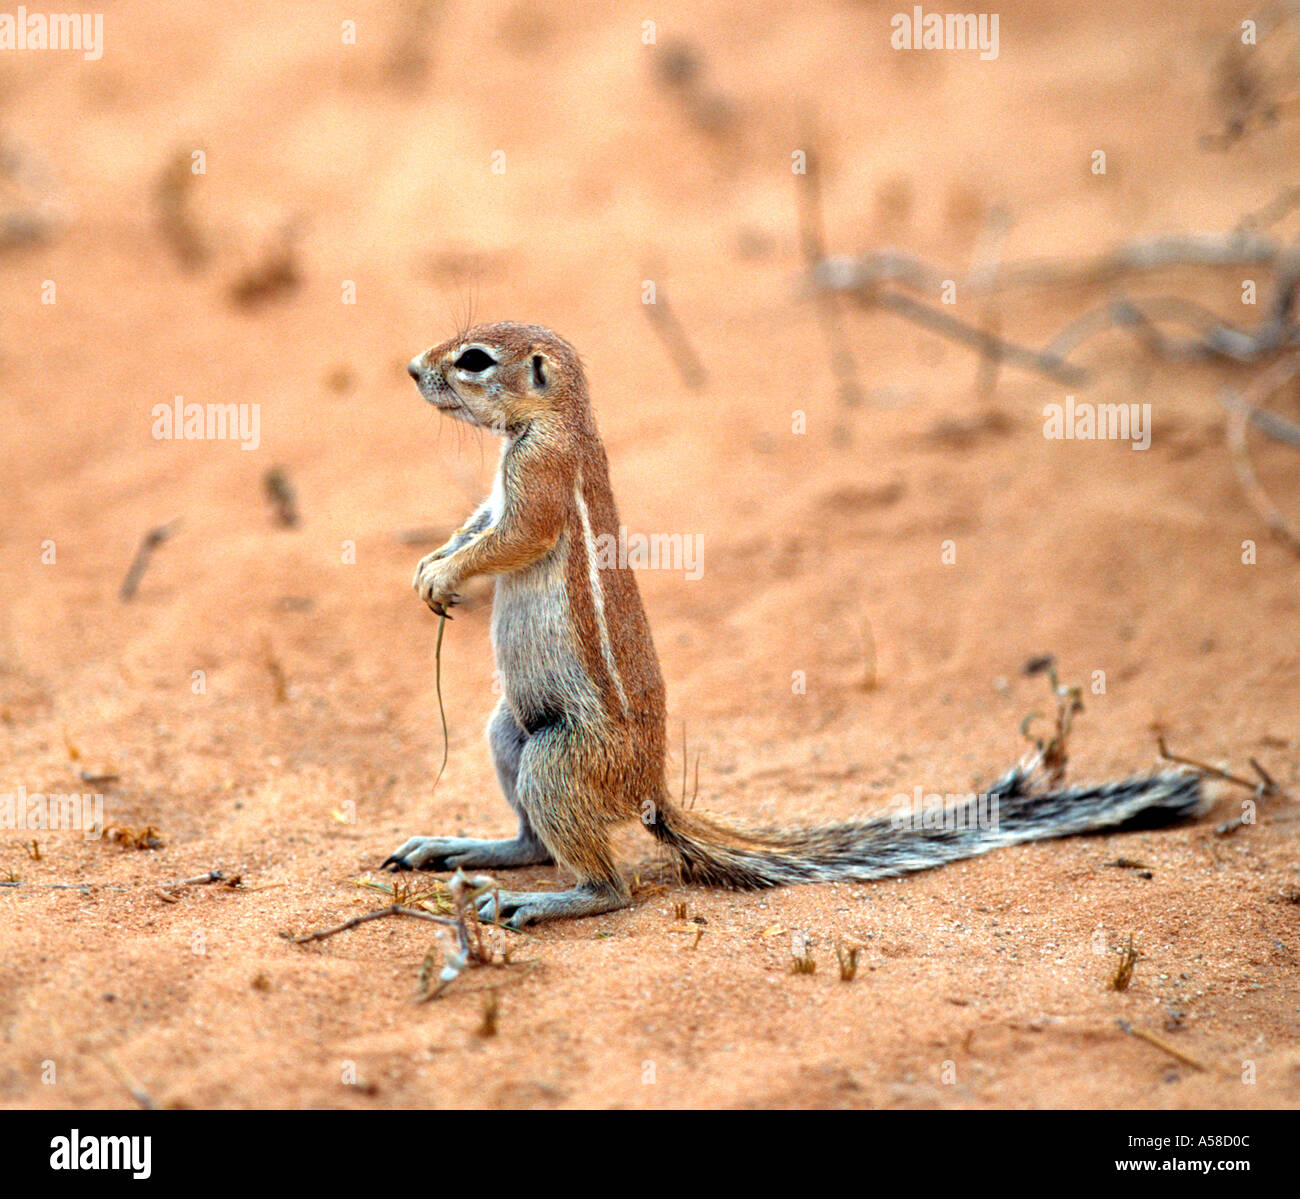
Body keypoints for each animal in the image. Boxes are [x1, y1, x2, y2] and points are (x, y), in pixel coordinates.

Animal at [384, 321, 1204, 927]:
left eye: (475, 360)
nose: (412, 369)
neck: (555, 422)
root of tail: (649, 792)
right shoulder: (496, 492)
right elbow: (476, 524)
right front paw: (431, 566)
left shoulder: (541, 481)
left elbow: (510, 538)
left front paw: (446, 575)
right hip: (512, 734)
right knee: (531, 837)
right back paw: (462, 848)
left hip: (559, 760)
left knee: (608, 883)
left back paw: (534, 901)